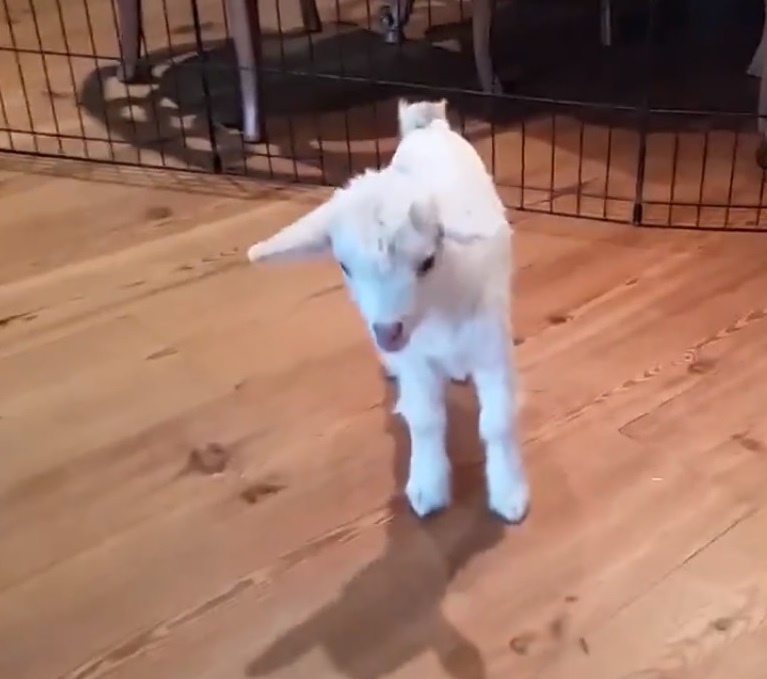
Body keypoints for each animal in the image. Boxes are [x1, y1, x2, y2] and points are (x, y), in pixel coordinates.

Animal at [247, 99, 529, 523]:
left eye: (427, 261)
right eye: (344, 266)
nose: (387, 332)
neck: (437, 309)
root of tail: (427, 125)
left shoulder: (490, 344)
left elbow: (497, 421)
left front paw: (510, 494)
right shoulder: (416, 359)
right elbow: (425, 420)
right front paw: (427, 486)